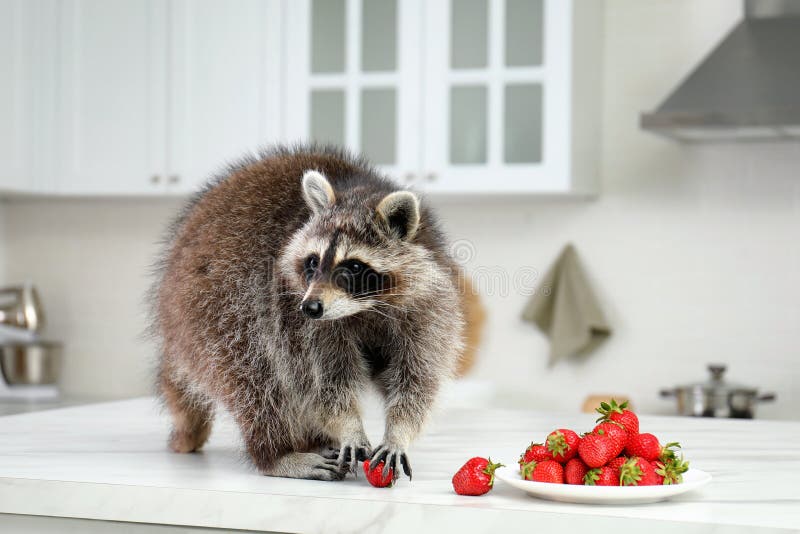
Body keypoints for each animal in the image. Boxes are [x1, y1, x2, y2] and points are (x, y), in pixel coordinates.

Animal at [153, 145, 464, 481]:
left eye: (354, 266)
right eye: (313, 261)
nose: (311, 307)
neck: (366, 307)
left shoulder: (427, 307)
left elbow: (418, 378)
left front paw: (399, 431)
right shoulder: (290, 311)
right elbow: (319, 382)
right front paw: (348, 425)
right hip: (214, 310)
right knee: (257, 381)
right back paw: (276, 453)